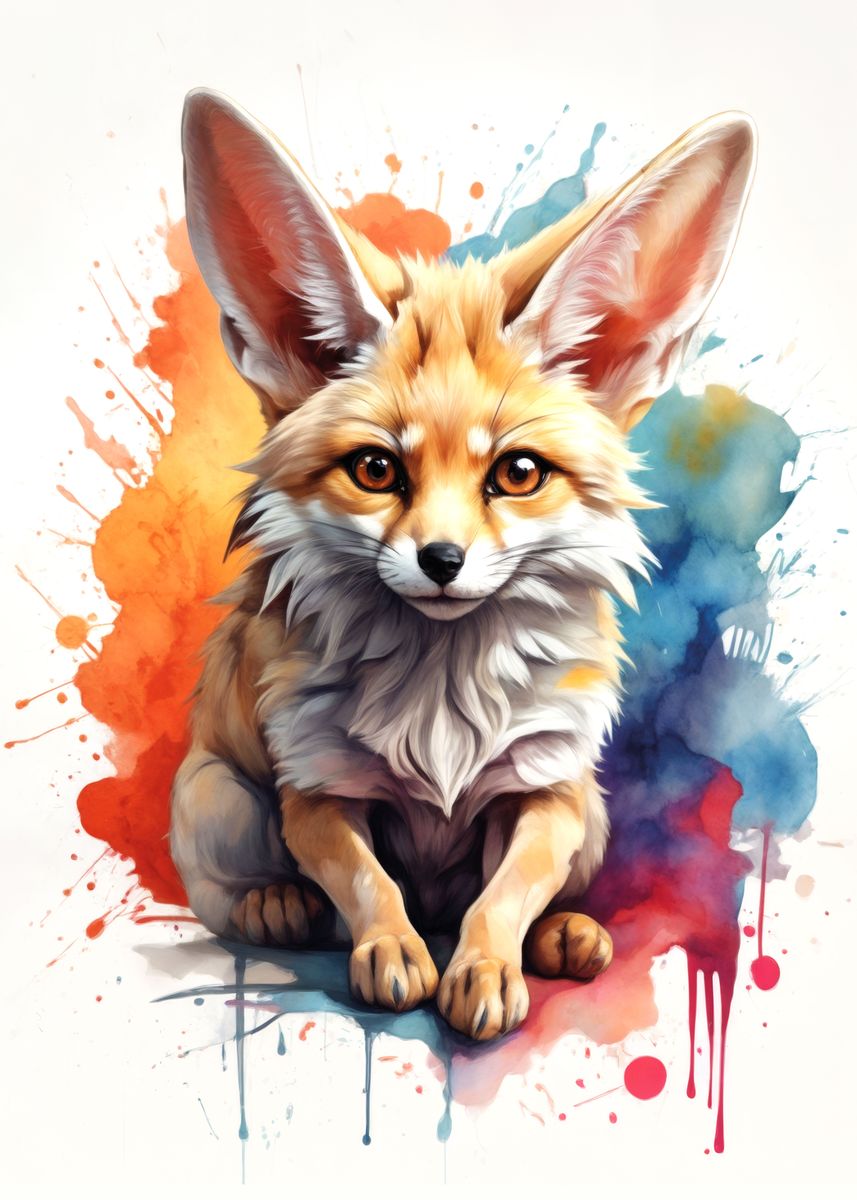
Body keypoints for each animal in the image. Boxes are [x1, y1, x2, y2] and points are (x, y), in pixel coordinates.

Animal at [170, 89, 755, 1040]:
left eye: (516, 474)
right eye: (376, 470)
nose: (440, 559)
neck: (440, 704)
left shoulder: (546, 788)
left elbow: (503, 897)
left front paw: (483, 968)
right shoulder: (317, 788)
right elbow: (366, 883)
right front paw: (392, 951)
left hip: (593, 811)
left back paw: (563, 934)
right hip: (216, 799)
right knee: (230, 894)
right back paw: (276, 904)